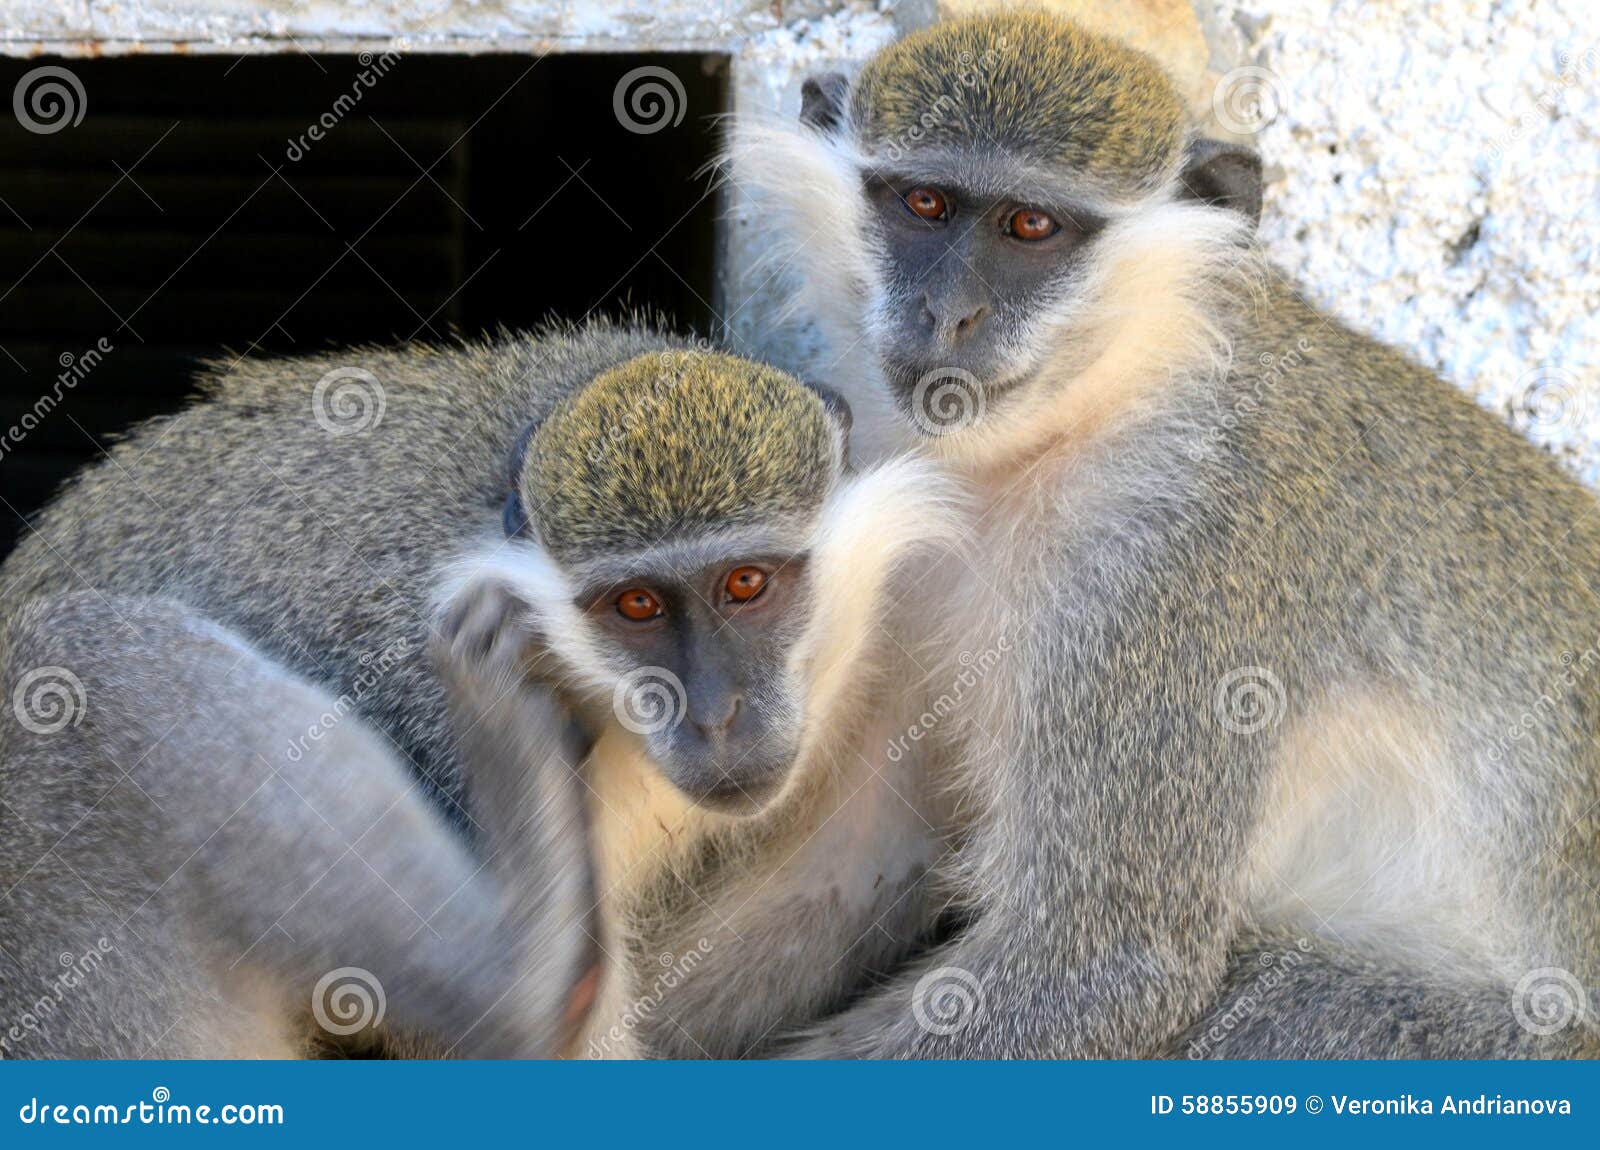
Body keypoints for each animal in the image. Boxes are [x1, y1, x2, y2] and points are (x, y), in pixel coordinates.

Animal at [726, 10, 1600, 1058]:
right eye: (925, 203)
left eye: (1032, 227)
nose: (948, 313)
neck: (1104, 404)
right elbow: (842, 865)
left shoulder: (1175, 569)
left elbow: (1099, 964)